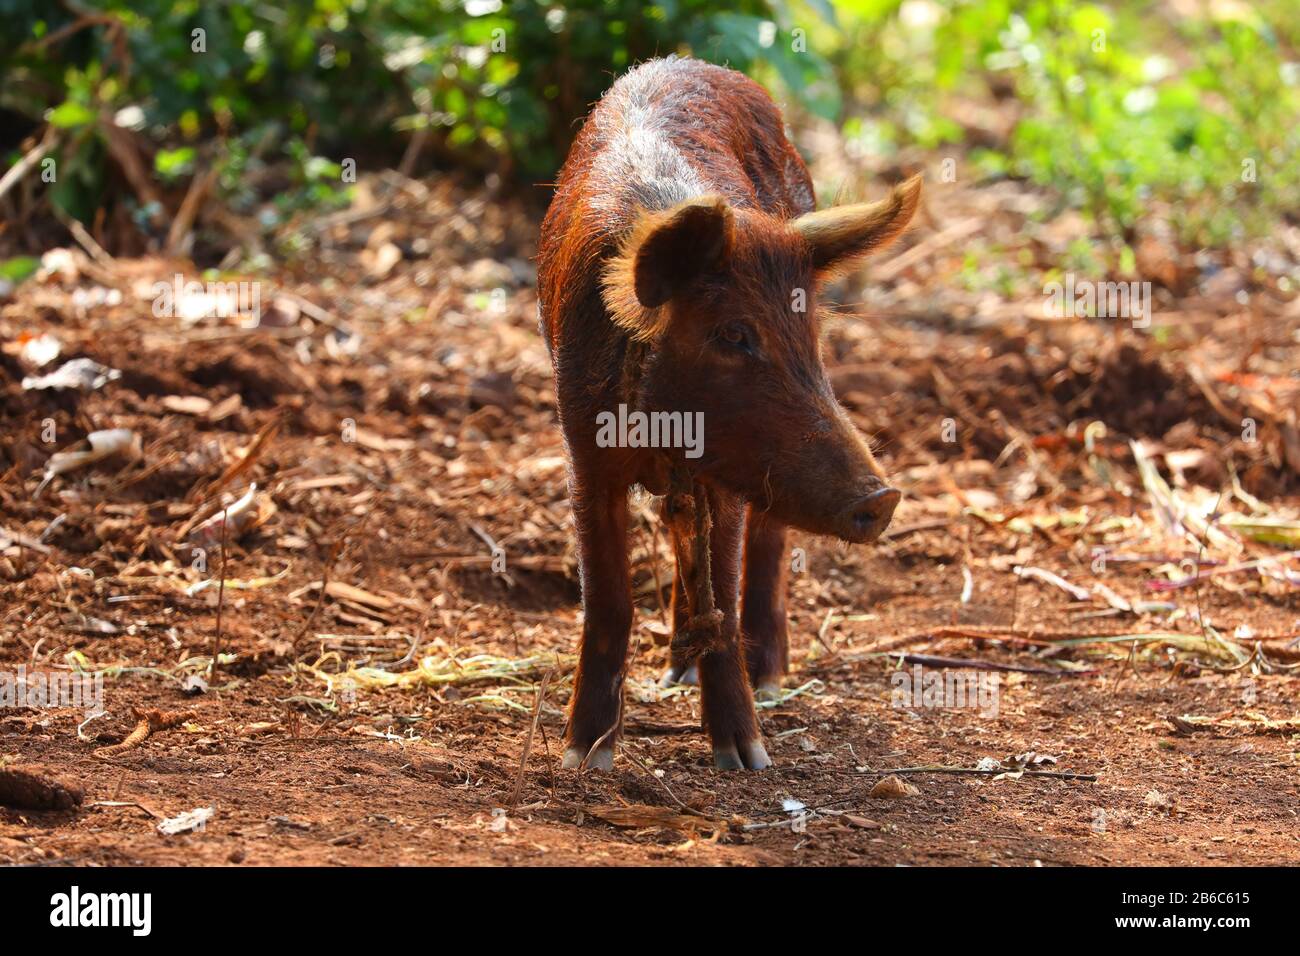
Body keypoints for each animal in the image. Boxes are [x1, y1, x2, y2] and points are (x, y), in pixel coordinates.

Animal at [538, 56, 920, 771]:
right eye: (734, 335)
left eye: (808, 333)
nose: (883, 497)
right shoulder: (583, 446)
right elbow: (607, 597)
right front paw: (583, 757)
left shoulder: (732, 472)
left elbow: (730, 570)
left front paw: (747, 759)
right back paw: (675, 673)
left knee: (766, 545)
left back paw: (767, 678)